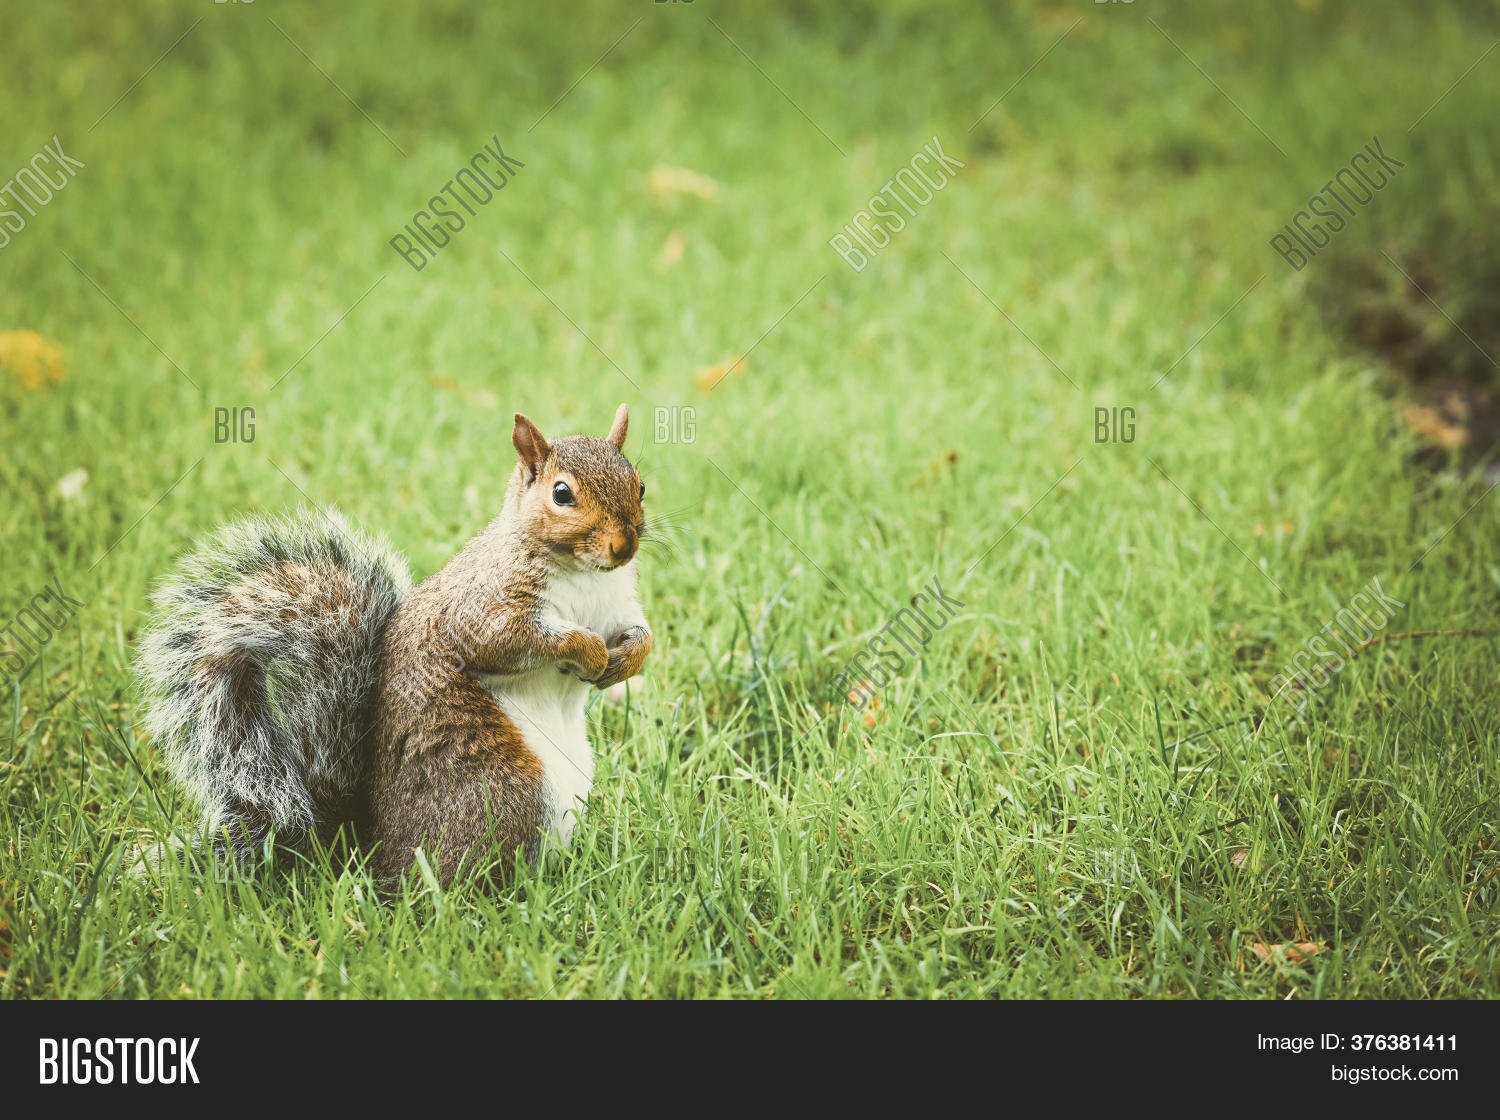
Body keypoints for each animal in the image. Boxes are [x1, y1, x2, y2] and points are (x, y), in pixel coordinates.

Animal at [134, 404, 652, 884]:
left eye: (641, 484)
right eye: (562, 494)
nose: (624, 546)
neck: (585, 574)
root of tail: (367, 851)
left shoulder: (619, 606)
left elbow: (642, 634)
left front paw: (625, 661)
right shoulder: (483, 608)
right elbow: (510, 641)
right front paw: (588, 650)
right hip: (504, 787)